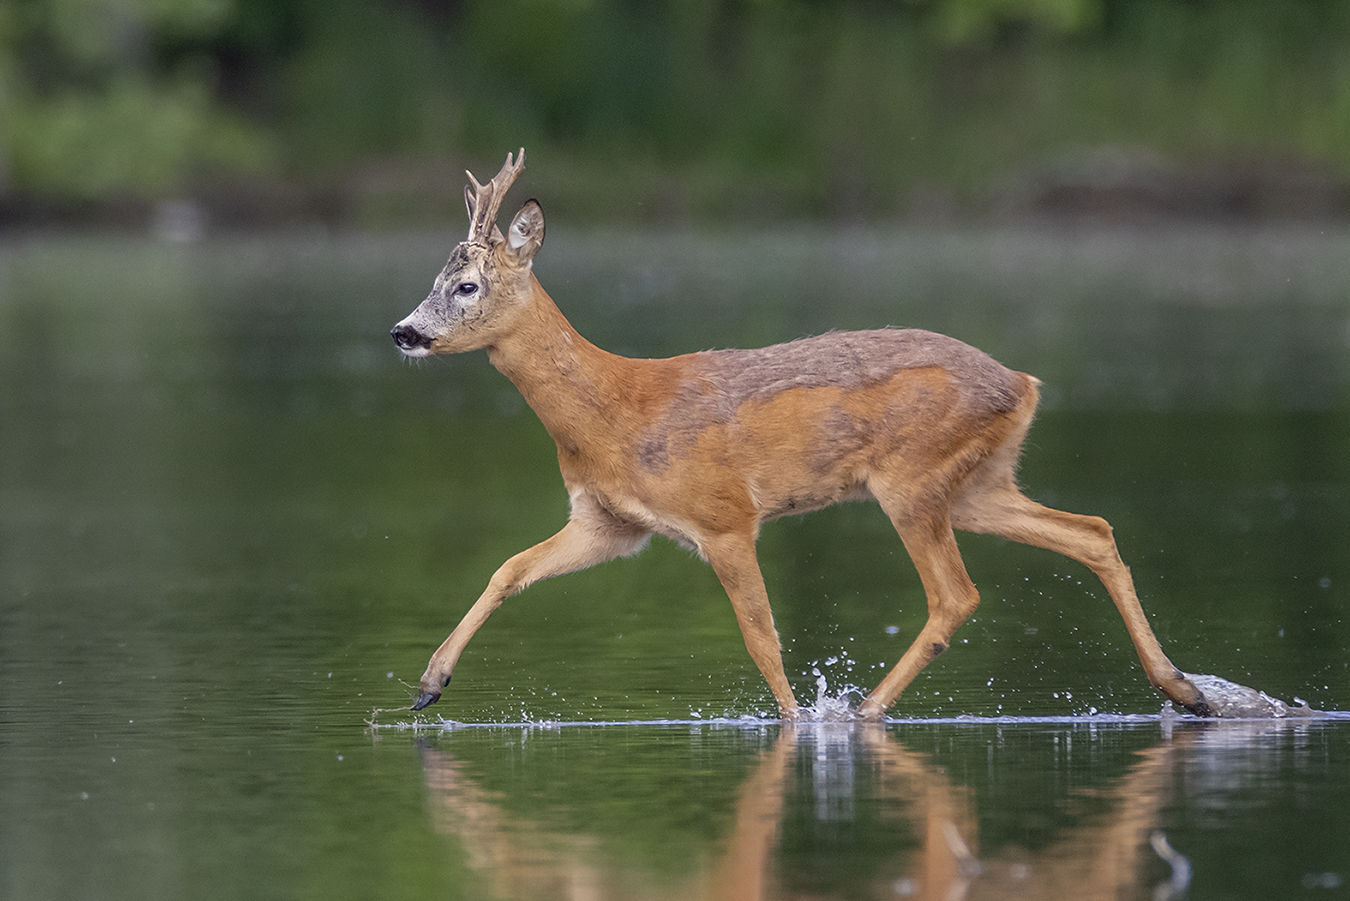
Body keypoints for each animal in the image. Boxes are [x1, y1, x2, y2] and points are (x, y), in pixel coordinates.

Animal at [389, 148, 1299, 720]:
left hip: (913, 479)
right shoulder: (609, 522)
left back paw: (861, 714)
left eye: (467, 285)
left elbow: (762, 639)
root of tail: (1024, 383)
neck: (615, 410)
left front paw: (796, 723)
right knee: (1092, 530)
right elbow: (509, 568)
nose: (403, 331)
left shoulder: (723, 516)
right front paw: (429, 684)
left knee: (956, 592)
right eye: (433, 279)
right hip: (979, 484)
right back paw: (1186, 691)